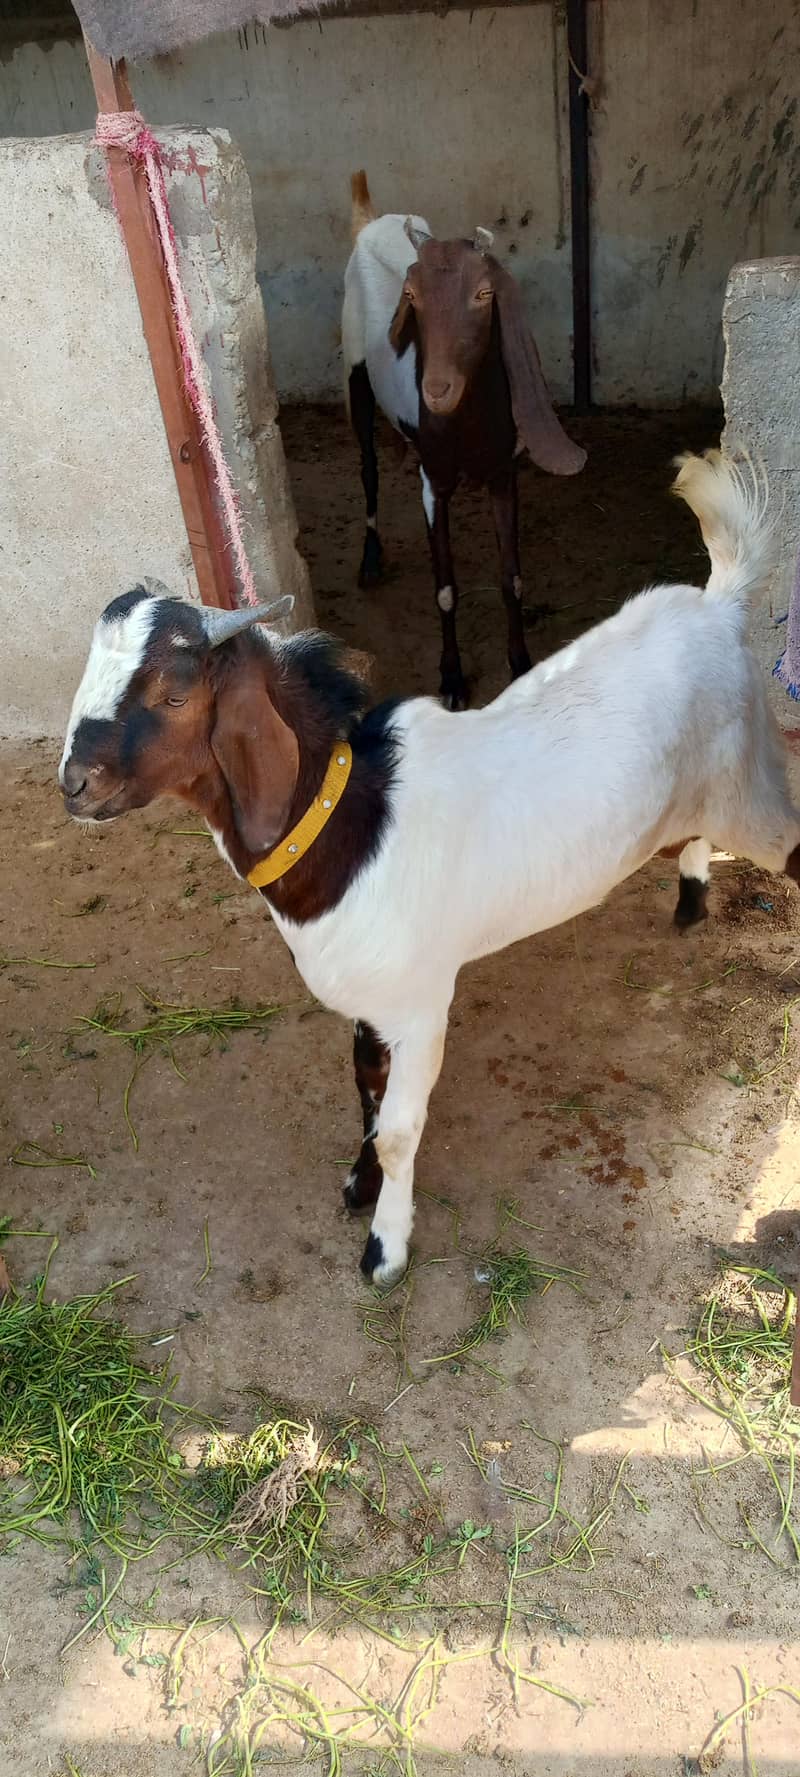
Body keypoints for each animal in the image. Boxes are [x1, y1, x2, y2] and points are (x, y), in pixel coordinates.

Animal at [60, 453, 800, 1289]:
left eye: (173, 689)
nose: (72, 784)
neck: (353, 828)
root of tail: (721, 603)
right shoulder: (368, 994)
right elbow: (365, 1091)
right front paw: (358, 1184)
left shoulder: (418, 1004)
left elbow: (398, 1127)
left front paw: (386, 1246)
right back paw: (692, 895)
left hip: (750, 790)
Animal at [343, 170, 586, 709]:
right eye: (411, 296)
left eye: (484, 293)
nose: (437, 391)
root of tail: (372, 221)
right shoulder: (434, 480)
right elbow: (445, 589)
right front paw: (452, 679)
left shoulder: (503, 473)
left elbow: (512, 578)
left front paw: (520, 663)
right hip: (353, 369)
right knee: (366, 466)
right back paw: (369, 560)